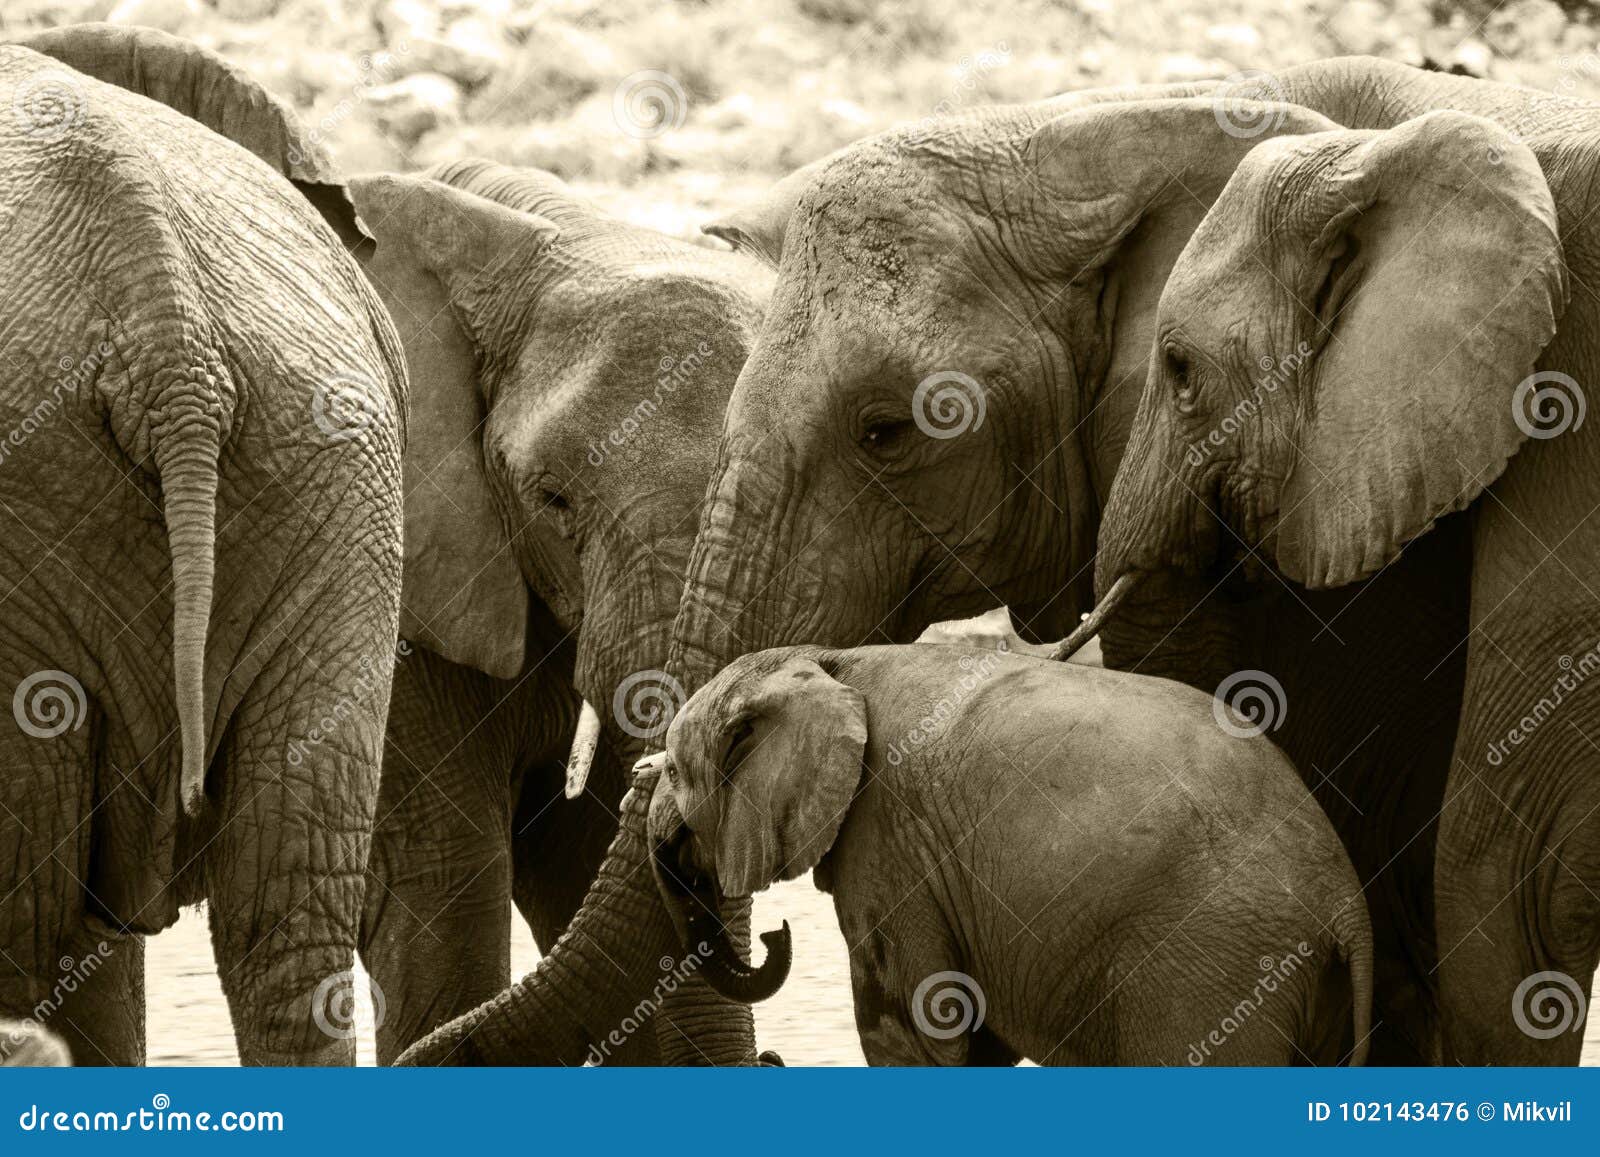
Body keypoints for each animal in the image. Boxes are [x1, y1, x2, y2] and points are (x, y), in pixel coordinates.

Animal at [648, 644, 1373, 1065]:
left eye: (675, 773)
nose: (777, 931)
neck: (824, 659)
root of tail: (1348, 906)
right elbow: (972, 1036)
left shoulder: (888, 838)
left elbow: (914, 1026)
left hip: (1212, 964)